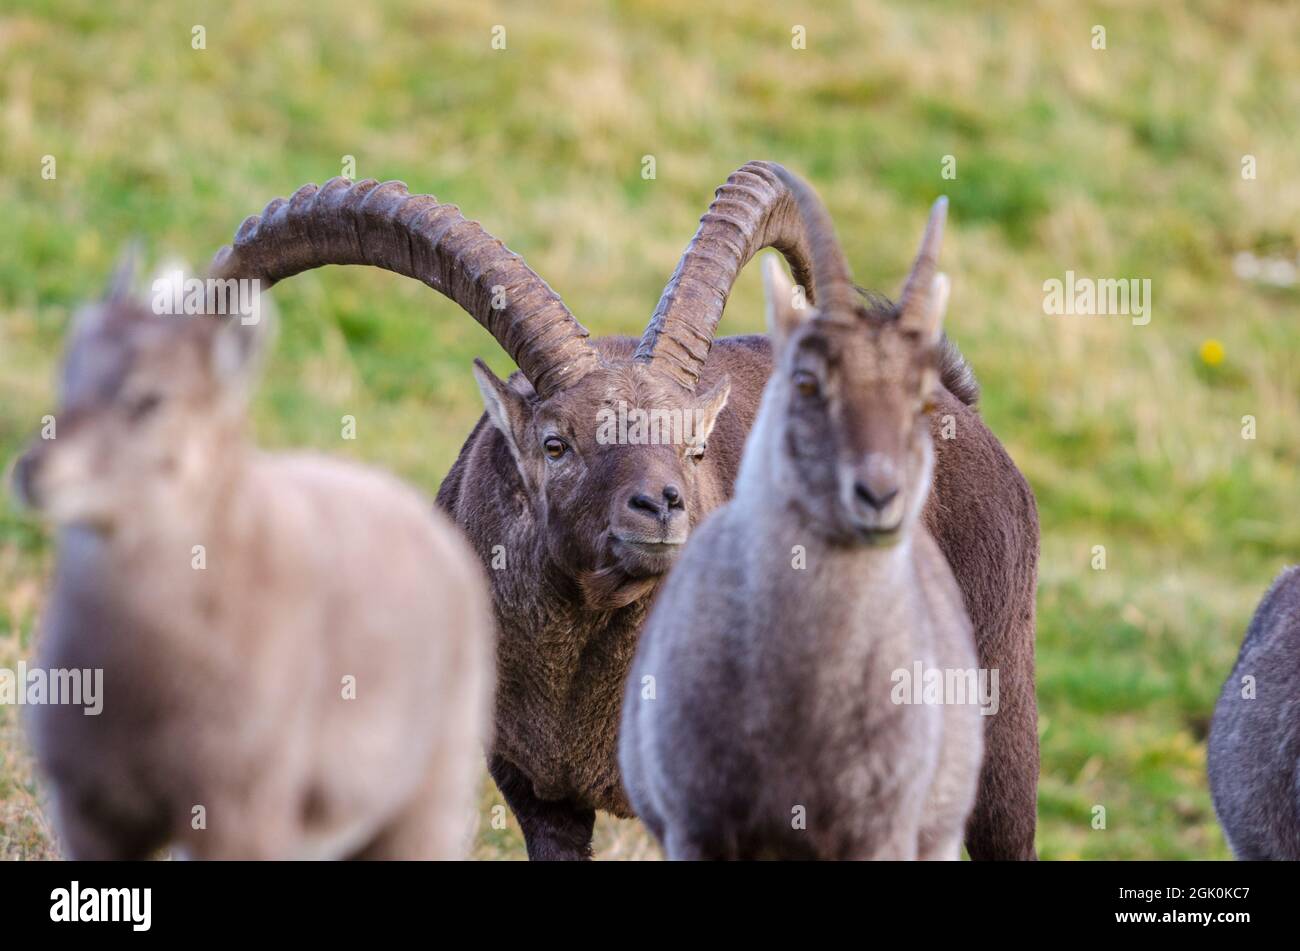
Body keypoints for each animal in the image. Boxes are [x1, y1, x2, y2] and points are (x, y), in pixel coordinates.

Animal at [9, 261, 493, 859]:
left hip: (425, 801)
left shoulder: (238, 818)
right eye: (69, 372)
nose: (33, 471)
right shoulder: (91, 815)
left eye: (150, 398)